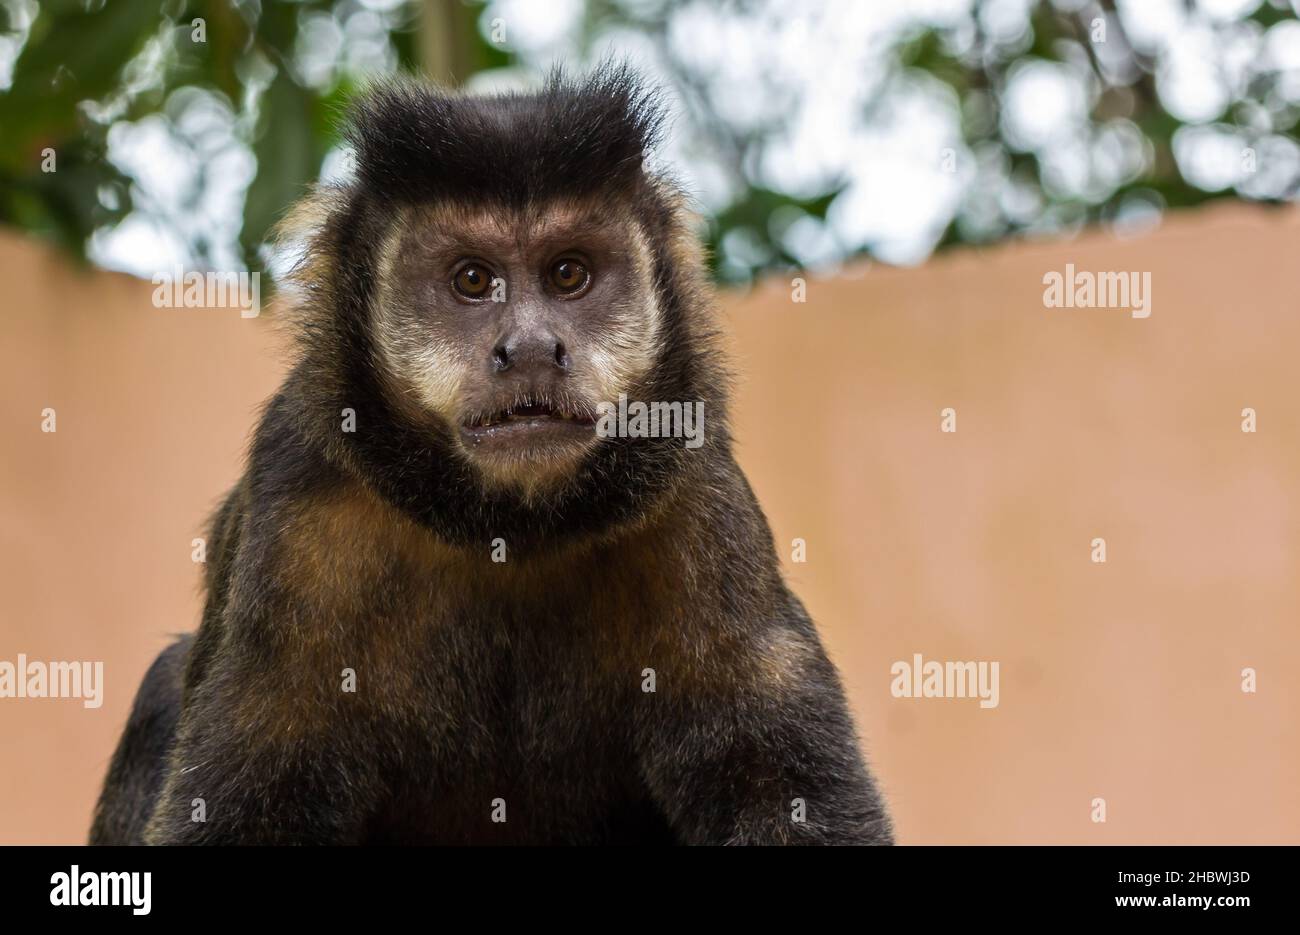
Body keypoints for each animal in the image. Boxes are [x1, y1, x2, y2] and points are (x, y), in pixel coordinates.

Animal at [89, 66, 893, 846]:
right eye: (473, 280)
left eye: (568, 274)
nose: (533, 347)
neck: (504, 530)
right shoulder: (298, 494)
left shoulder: (694, 485)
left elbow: (782, 794)